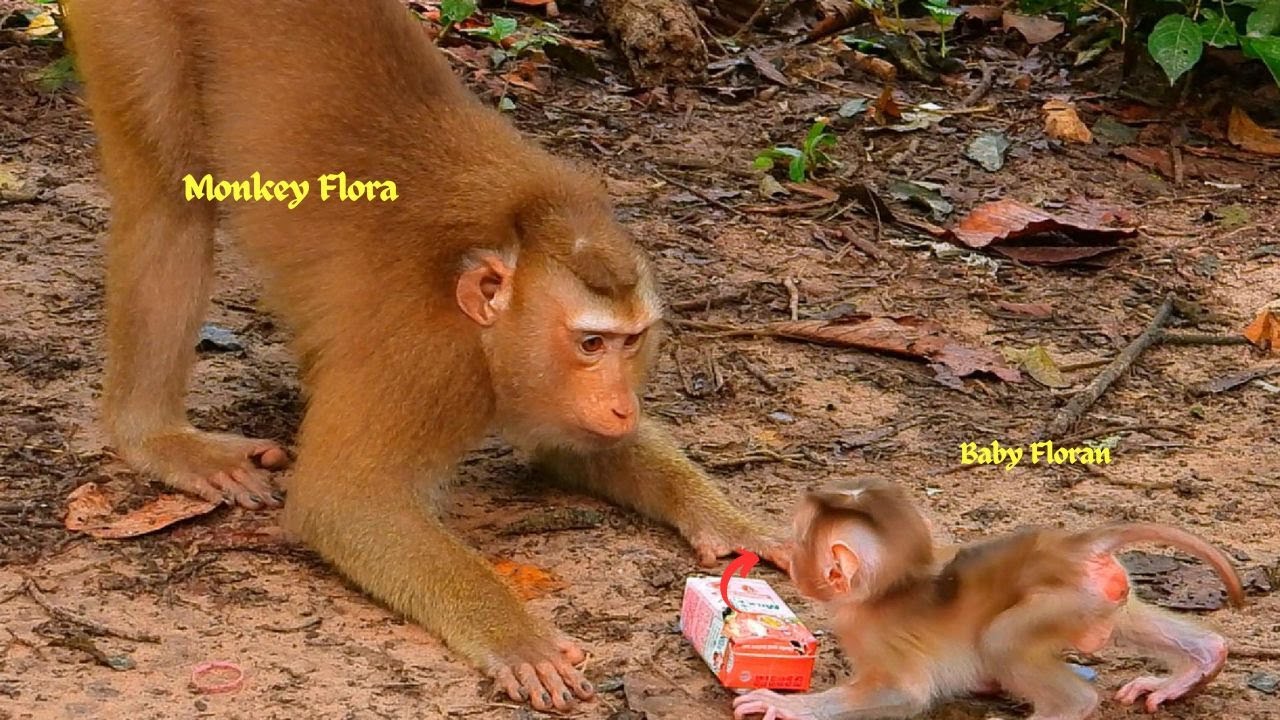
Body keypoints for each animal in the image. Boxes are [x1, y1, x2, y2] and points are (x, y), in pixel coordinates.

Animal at [64, 0, 788, 711]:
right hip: (130, 19)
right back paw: (156, 437)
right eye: (590, 343)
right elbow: (343, 500)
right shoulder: (422, 358)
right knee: (167, 194)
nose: (621, 406)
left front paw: (734, 524)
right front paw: (517, 637)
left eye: (630, 341)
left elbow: (572, 449)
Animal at [733, 478, 1245, 720]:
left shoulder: (866, 630)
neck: (891, 586)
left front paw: (789, 706)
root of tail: (1070, 545)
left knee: (1001, 640)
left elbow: (905, 694)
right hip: (1096, 595)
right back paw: (1201, 662)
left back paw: (1066, 706)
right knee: (1130, 622)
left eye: (800, 540)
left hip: (1063, 602)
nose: (791, 563)